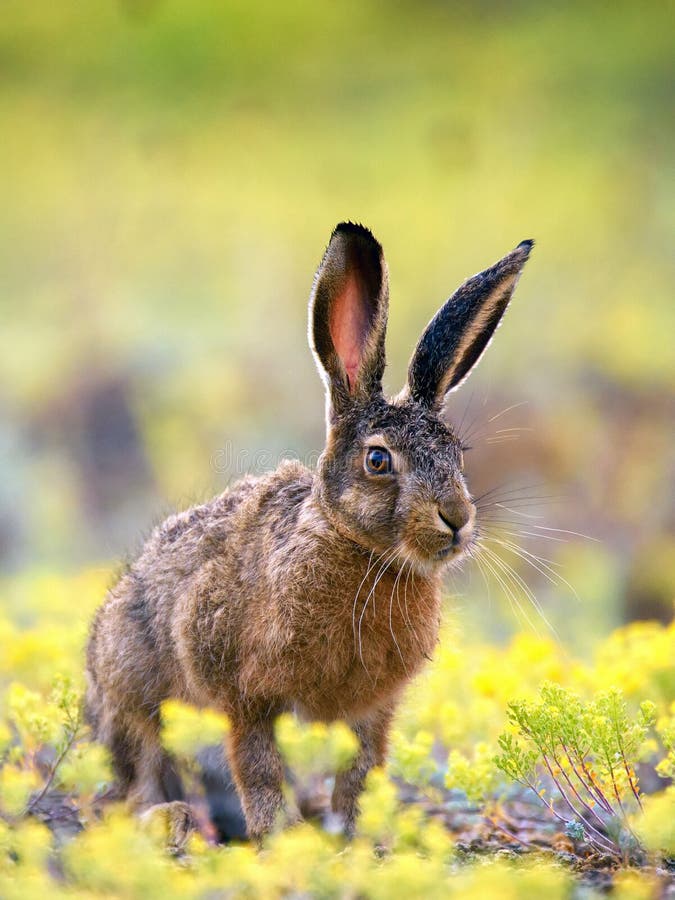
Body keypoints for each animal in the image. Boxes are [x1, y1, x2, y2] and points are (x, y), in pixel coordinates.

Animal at [86, 222, 533, 843]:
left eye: (457, 455)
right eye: (378, 460)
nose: (457, 518)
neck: (362, 554)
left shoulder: (371, 712)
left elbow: (362, 772)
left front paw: (357, 838)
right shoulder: (244, 694)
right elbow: (258, 767)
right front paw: (278, 838)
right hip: (135, 700)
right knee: (133, 787)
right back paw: (172, 819)